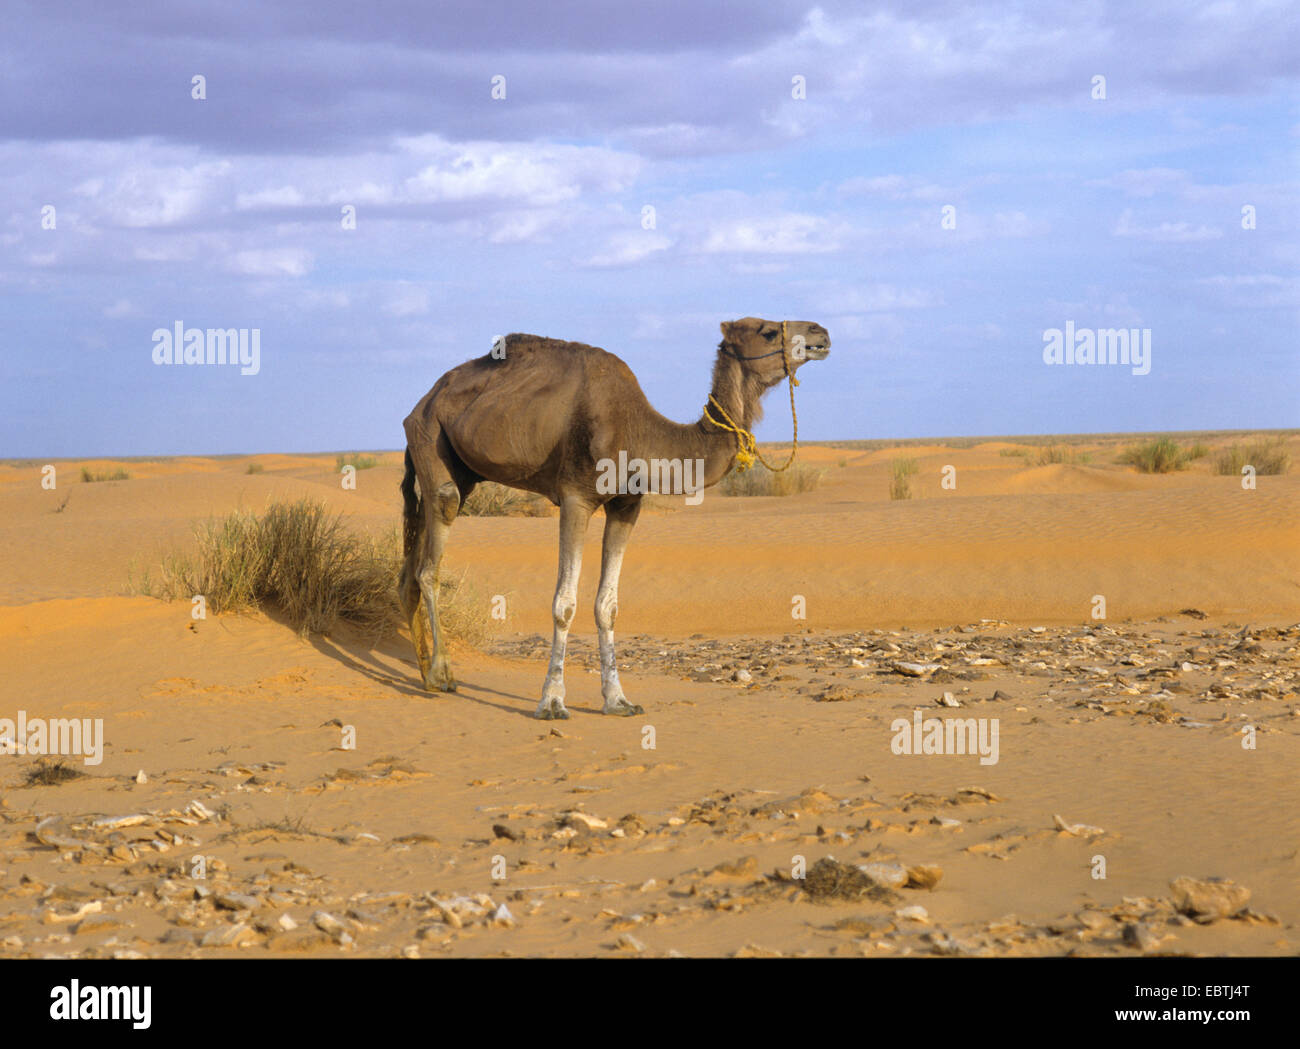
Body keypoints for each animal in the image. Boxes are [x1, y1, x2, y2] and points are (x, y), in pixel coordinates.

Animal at [399, 316, 831, 719]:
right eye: (767, 330)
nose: (820, 333)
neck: (640, 434)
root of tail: (422, 402)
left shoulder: (627, 505)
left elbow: (608, 605)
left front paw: (618, 700)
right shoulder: (575, 497)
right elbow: (564, 604)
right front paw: (552, 702)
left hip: (462, 467)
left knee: (415, 558)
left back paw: (422, 668)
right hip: (429, 435)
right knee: (435, 540)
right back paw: (441, 673)